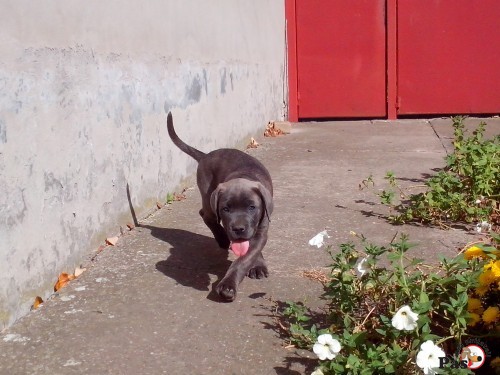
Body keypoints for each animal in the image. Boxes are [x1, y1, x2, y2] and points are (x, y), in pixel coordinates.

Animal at [167, 112, 274, 302]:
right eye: (226, 209)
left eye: (252, 207)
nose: (238, 229)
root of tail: (205, 155)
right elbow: (245, 256)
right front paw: (228, 286)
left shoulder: (261, 229)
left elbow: (247, 255)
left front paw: (255, 266)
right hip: (207, 195)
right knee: (205, 214)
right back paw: (222, 238)